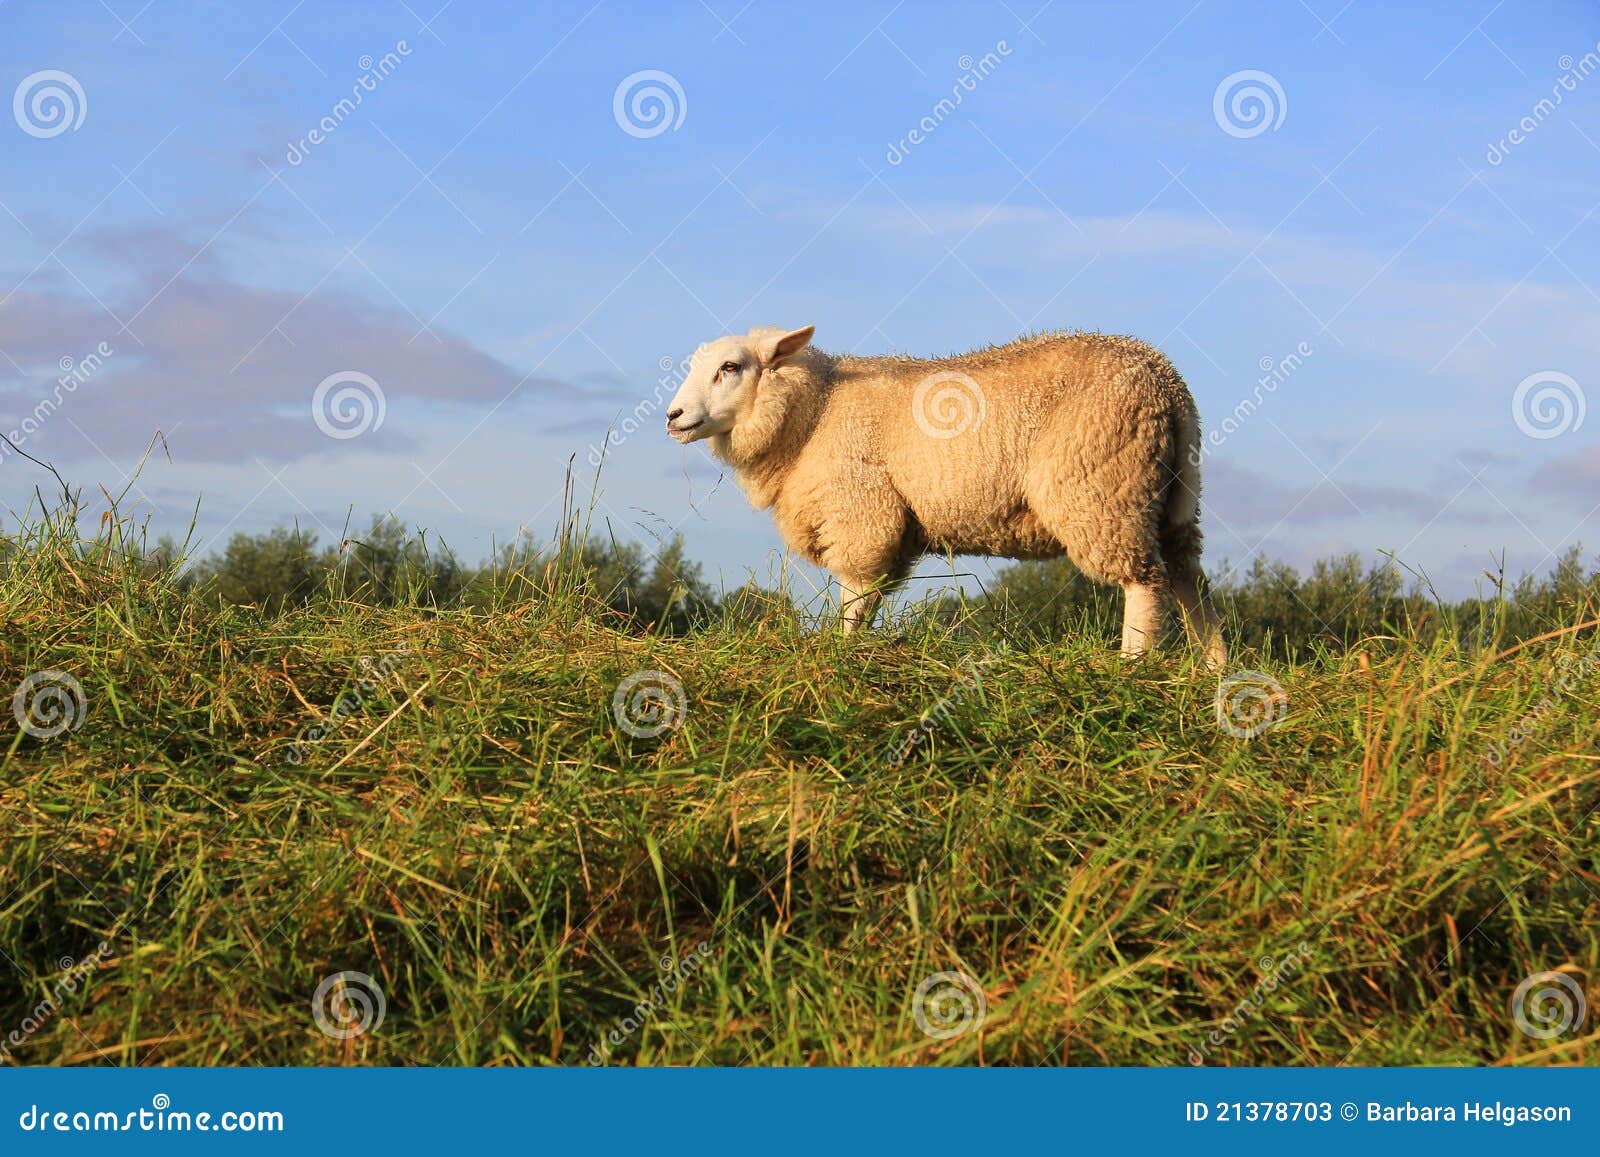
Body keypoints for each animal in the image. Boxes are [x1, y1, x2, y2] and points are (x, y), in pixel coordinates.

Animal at [664, 324, 1226, 666]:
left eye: (731, 367)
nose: (673, 416)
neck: (816, 412)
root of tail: (1168, 386)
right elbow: (869, 599)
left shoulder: (864, 516)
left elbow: (855, 599)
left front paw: (843, 653)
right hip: (1169, 499)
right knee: (1187, 580)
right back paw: (1213, 668)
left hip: (1104, 489)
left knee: (1145, 583)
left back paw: (1130, 665)